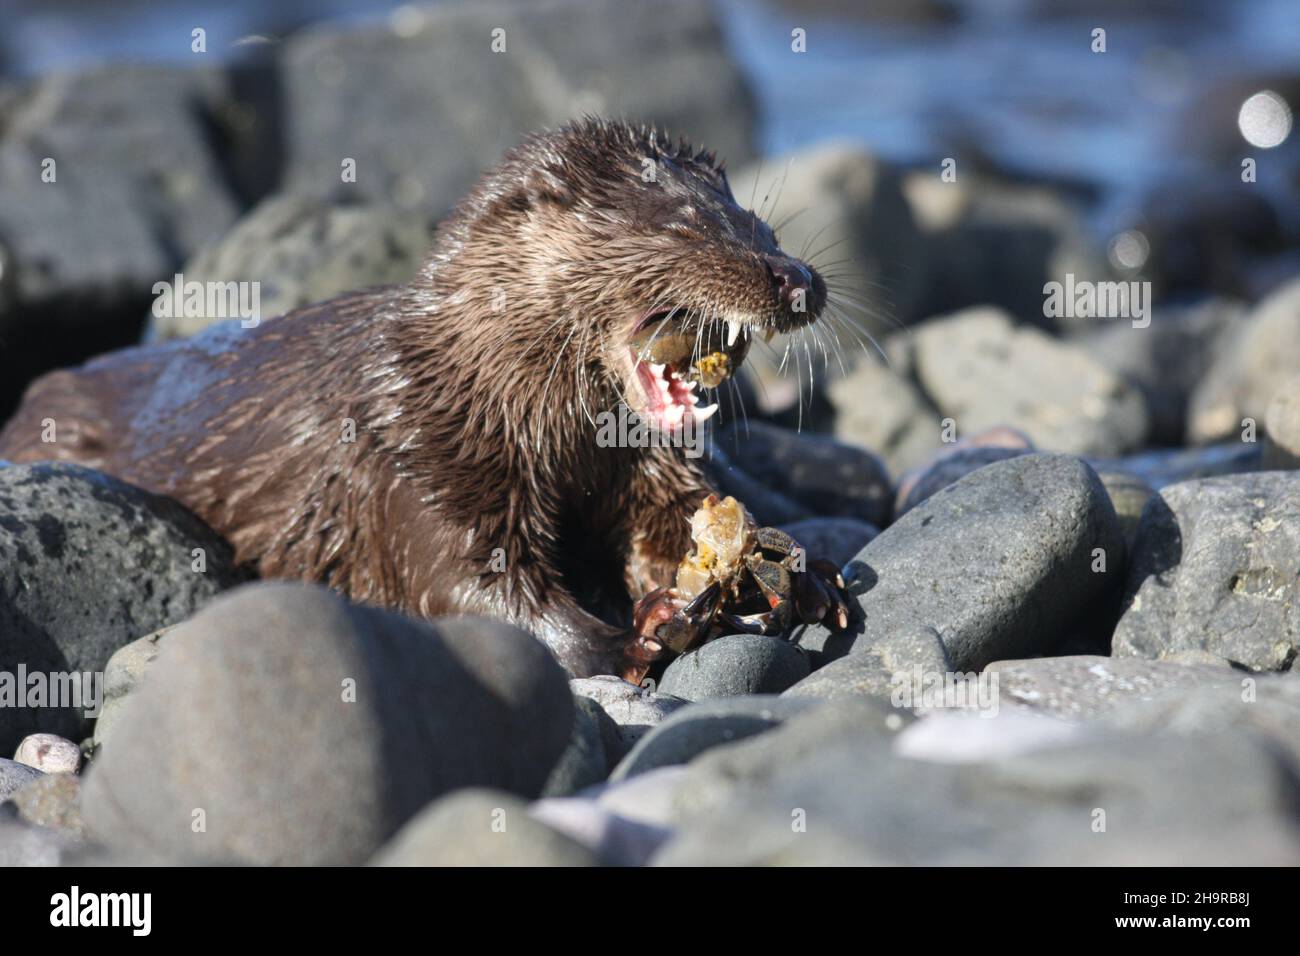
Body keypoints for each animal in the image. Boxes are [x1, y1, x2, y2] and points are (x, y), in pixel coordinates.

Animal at [0, 118, 846, 679]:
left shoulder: (642, 466)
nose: (797, 278)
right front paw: (631, 637)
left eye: (760, 223)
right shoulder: (419, 456)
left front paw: (799, 576)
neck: (480, 389)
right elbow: (473, 588)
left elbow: (672, 523)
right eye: (682, 229)